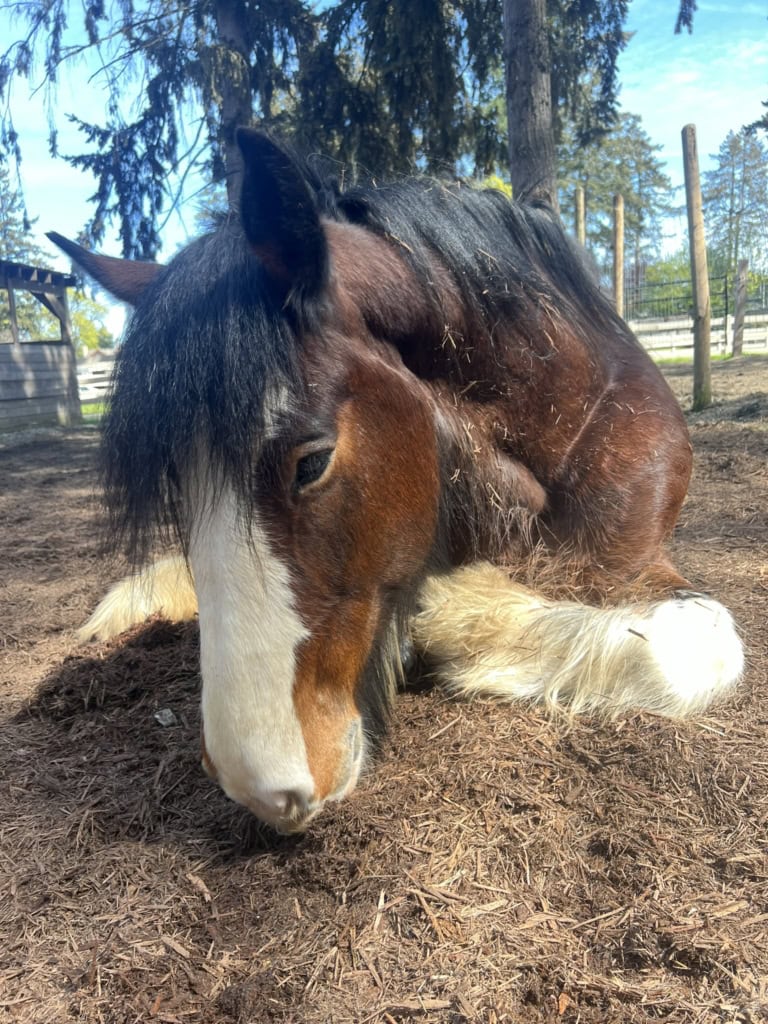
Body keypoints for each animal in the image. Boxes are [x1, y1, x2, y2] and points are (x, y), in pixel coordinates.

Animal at [50, 130, 743, 833]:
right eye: (178, 481)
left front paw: (457, 613)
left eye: (312, 462)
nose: (257, 785)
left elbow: (688, 652)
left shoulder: (635, 565)